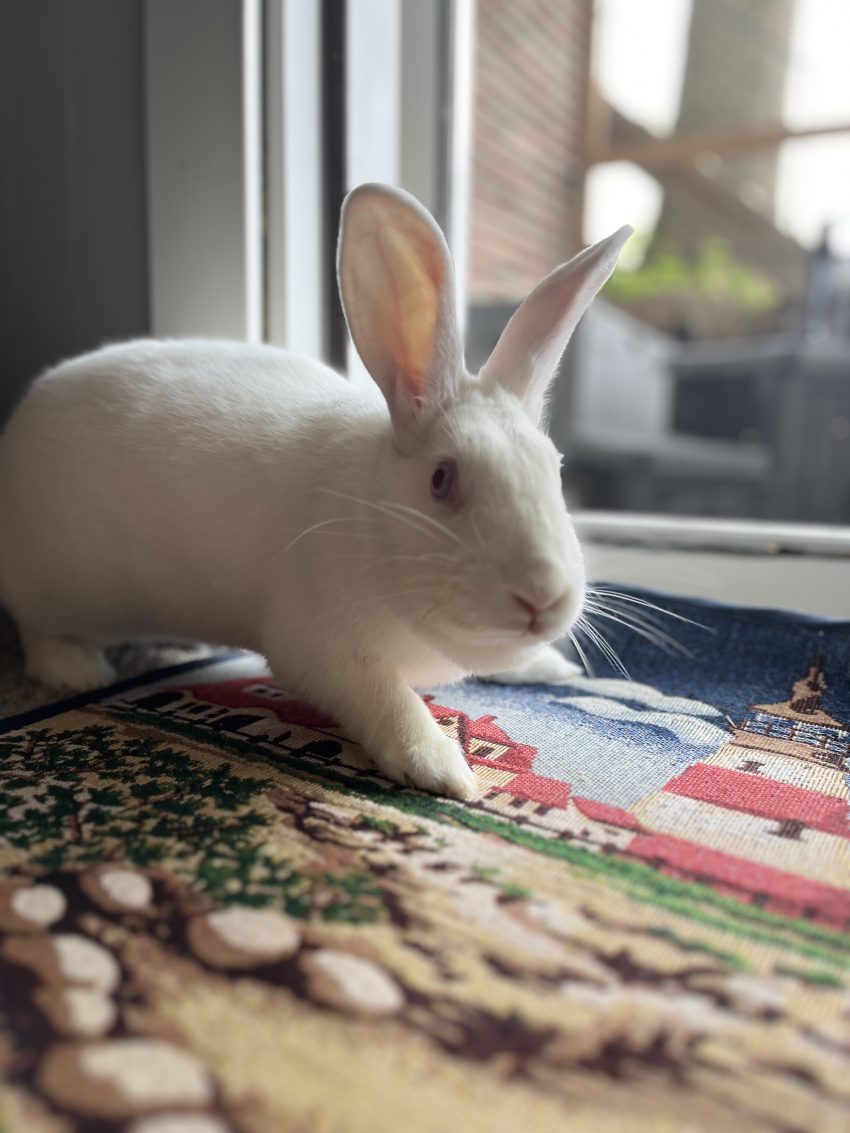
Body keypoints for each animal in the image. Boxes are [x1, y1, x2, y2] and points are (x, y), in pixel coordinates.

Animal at [0, 183, 630, 798]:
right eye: (442, 479)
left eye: (555, 471)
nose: (544, 599)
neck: (373, 514)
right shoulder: (326, 650)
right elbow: (388, 704)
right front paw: (442, 770)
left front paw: (550, 669)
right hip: (57, 583)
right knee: (36, 627)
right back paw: (78, 669)